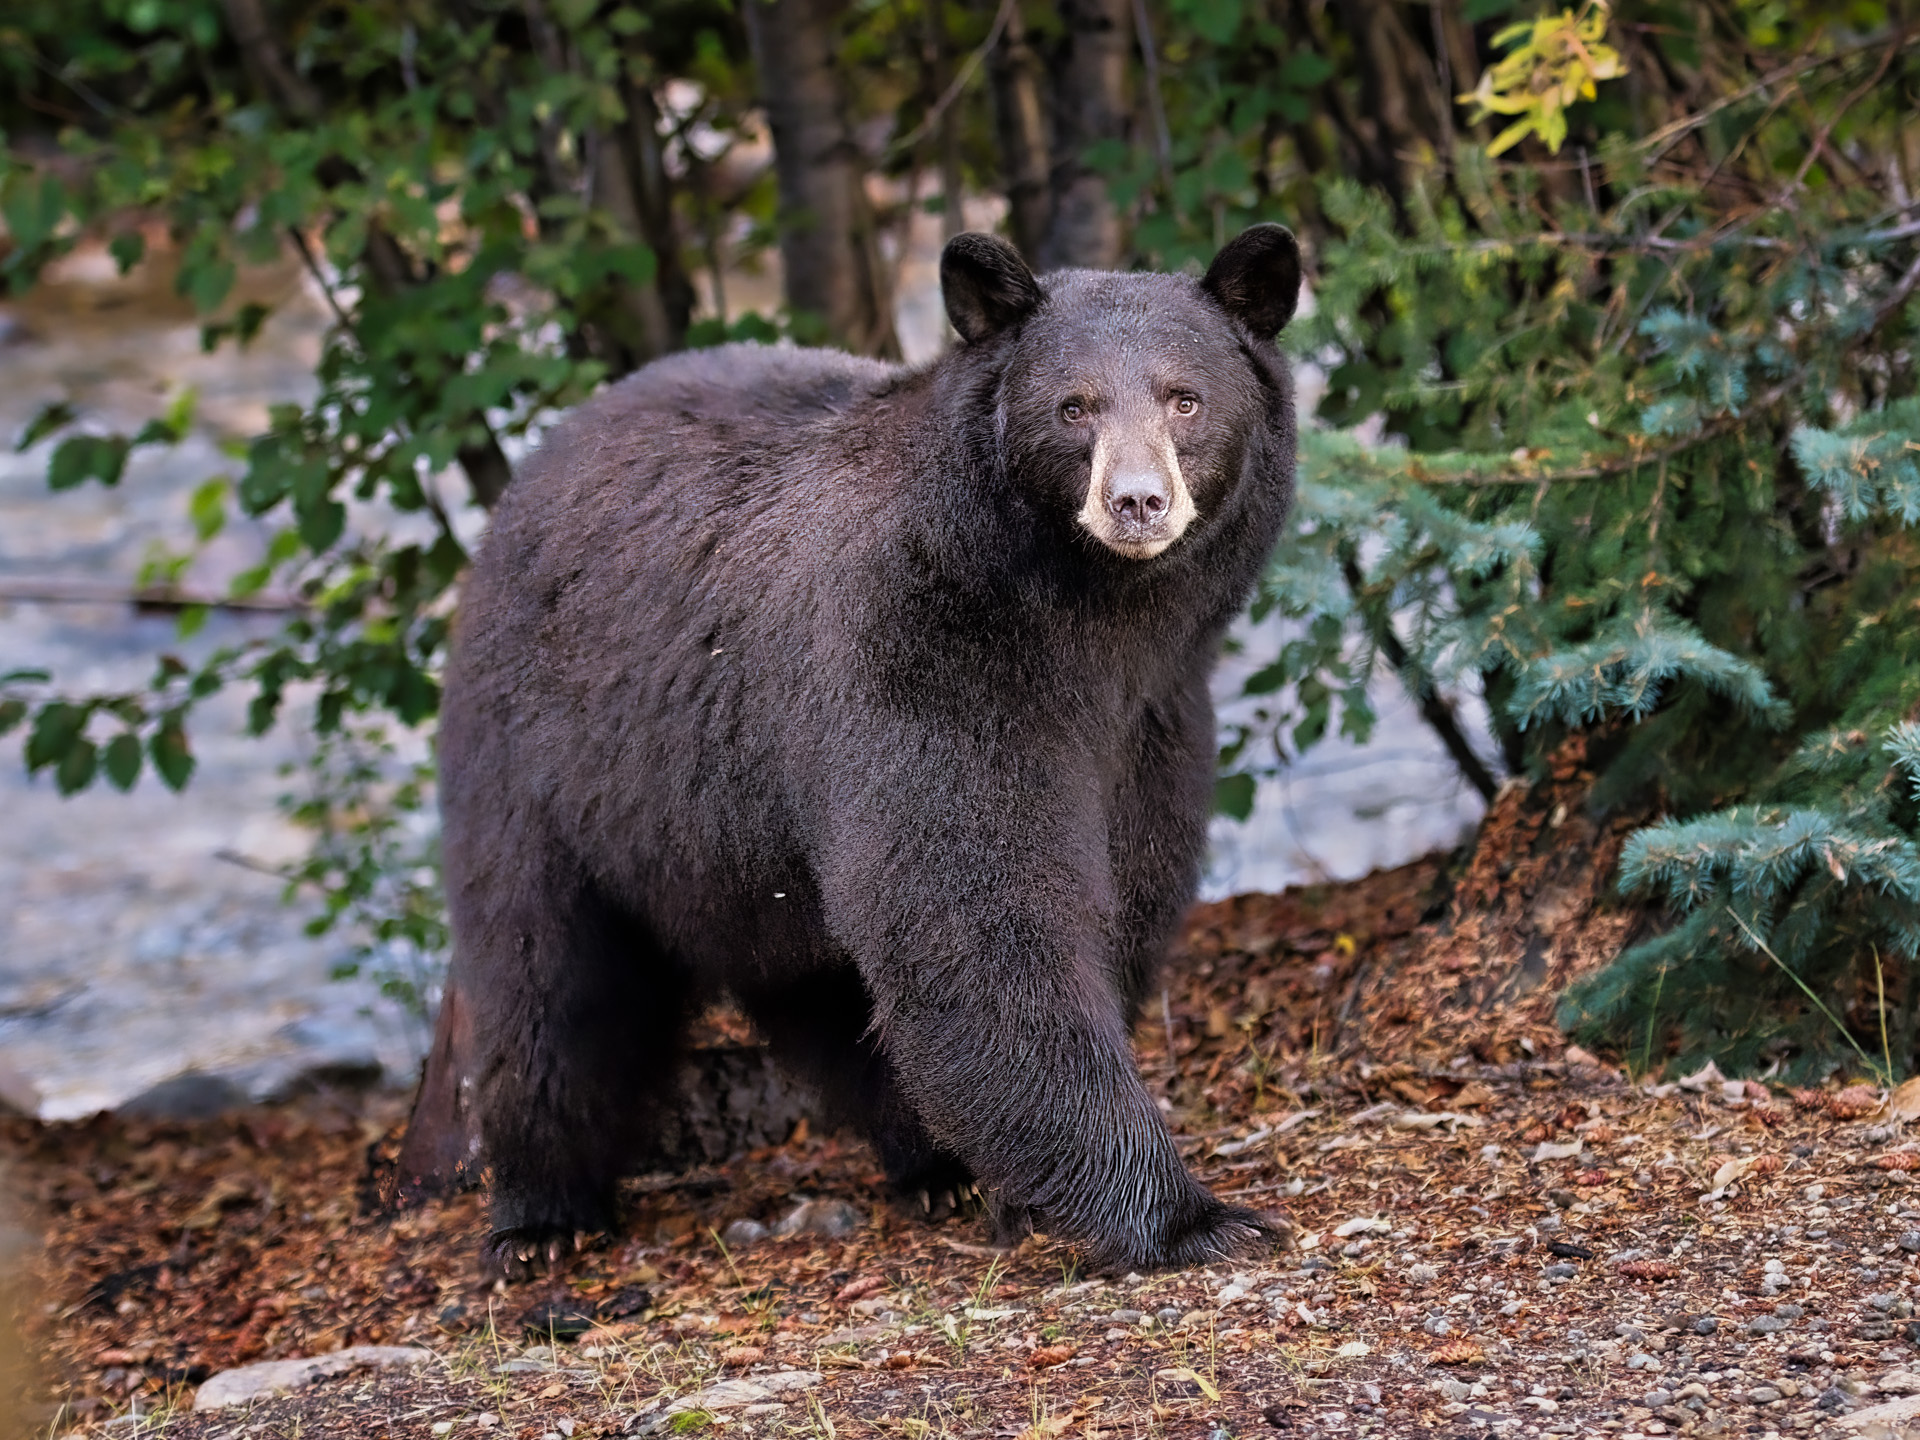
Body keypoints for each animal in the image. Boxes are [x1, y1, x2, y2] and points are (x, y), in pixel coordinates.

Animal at [420, 224, 1303, 1277]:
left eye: (1185, 396)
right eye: (1074, 405)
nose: (1137, 501)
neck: (1087, 622)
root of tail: (528, 478)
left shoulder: (1153, 718)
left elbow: (1126, 890)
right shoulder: (918, 660)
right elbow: (976, 918)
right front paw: (1184, 1215)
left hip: (740, 842)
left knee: (822, 989)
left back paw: (934, 1163)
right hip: (546, 760)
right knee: (548, 980)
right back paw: (540, 1218)